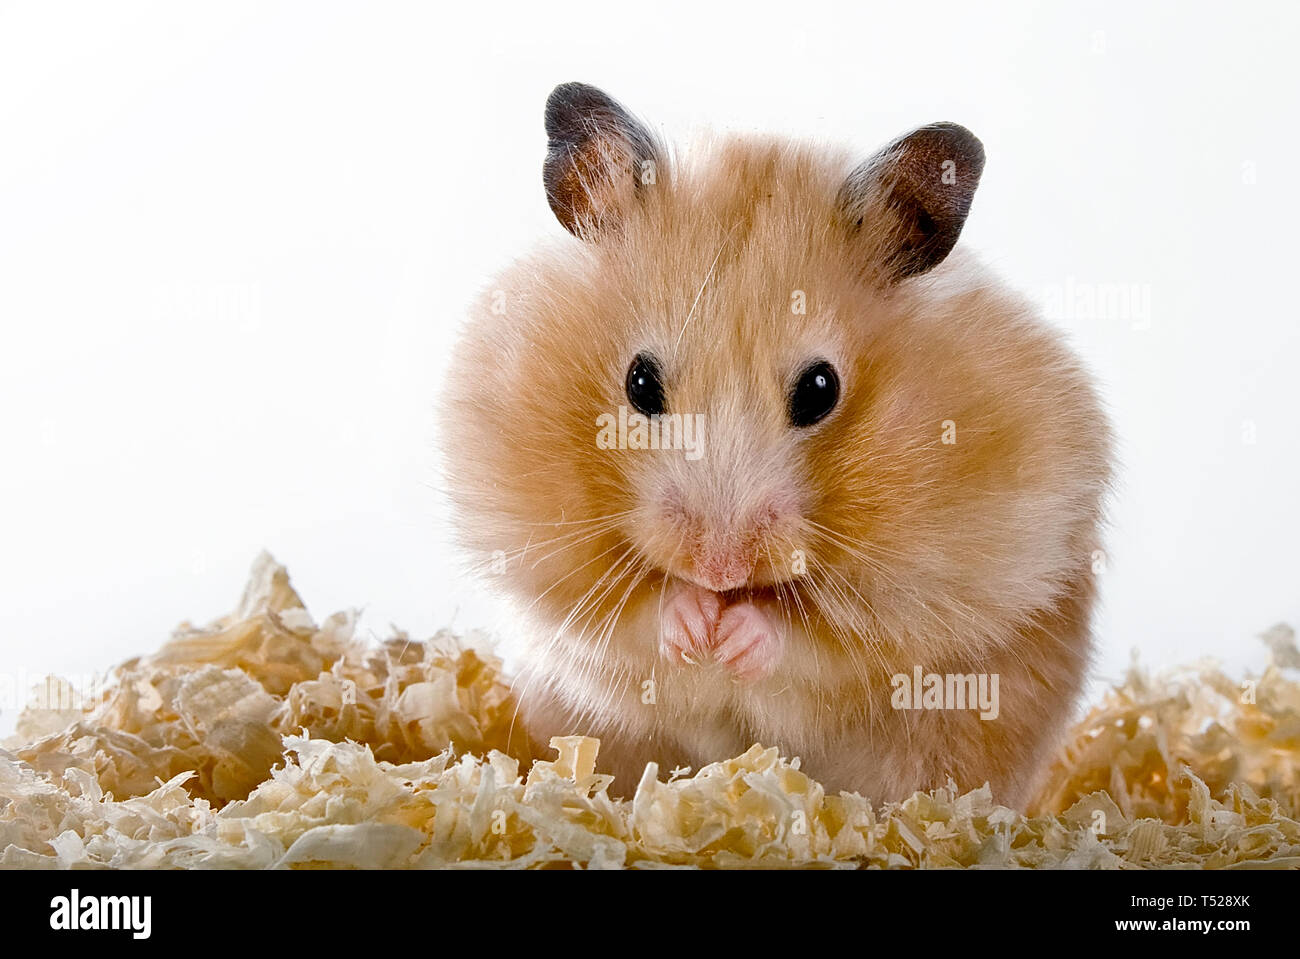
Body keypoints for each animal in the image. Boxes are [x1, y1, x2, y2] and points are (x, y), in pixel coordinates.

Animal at [440, 82, 1113, 807]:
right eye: (639, 382)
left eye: (820, 389)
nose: (721, 571)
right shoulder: (544, 557)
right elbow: (629, 609)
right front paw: (695, 626)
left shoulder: (940, 584)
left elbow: (821, 635)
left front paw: (731, 635)